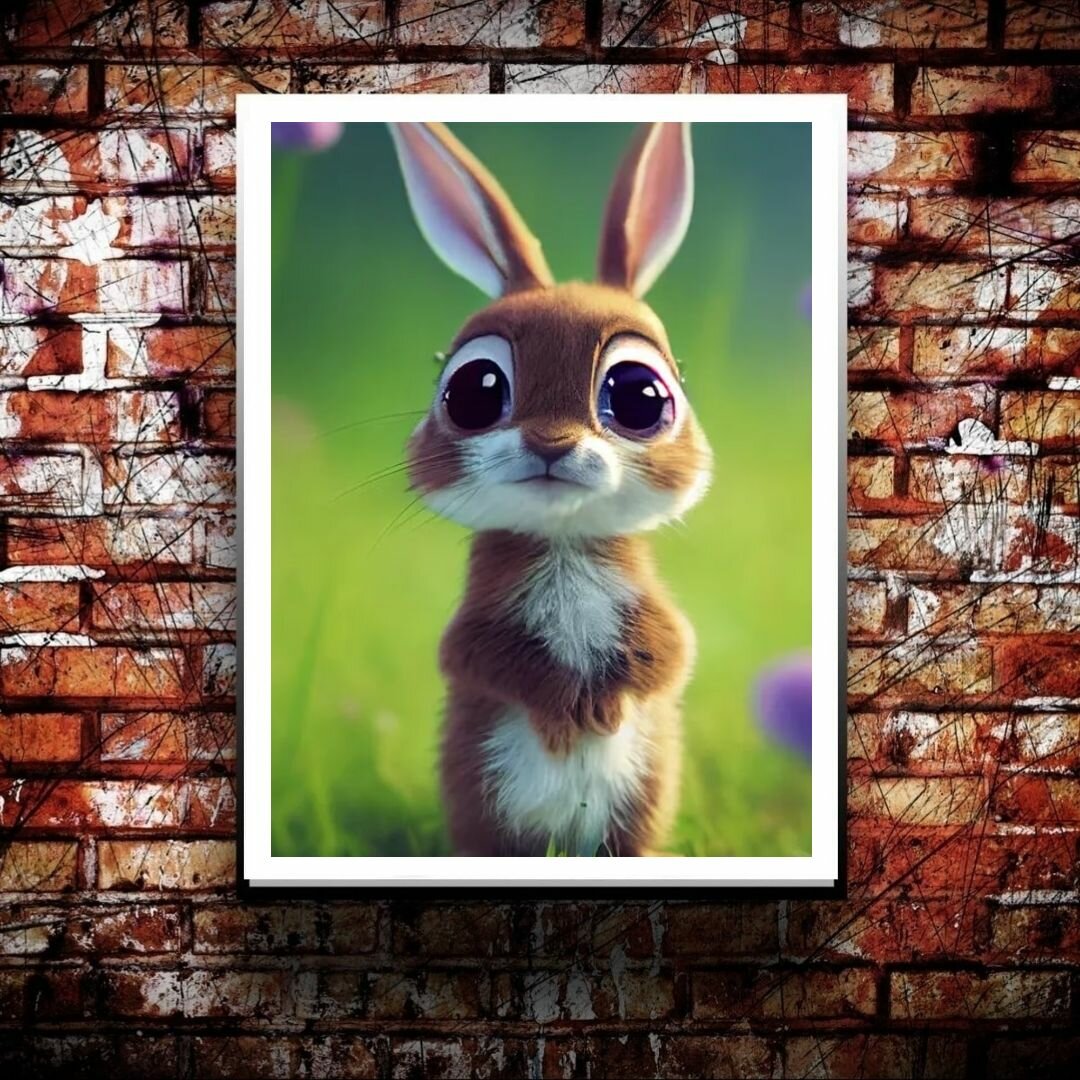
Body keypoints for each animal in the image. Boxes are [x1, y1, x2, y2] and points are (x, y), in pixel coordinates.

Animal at [389, 121, 713, 856]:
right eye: (472, 392)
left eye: (641, 395)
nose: (551, 444)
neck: (564, 539)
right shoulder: (476, 629)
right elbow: (478, 657)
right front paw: (565, 714)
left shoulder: (654, 617)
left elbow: (671, 652)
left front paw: (603, 710)